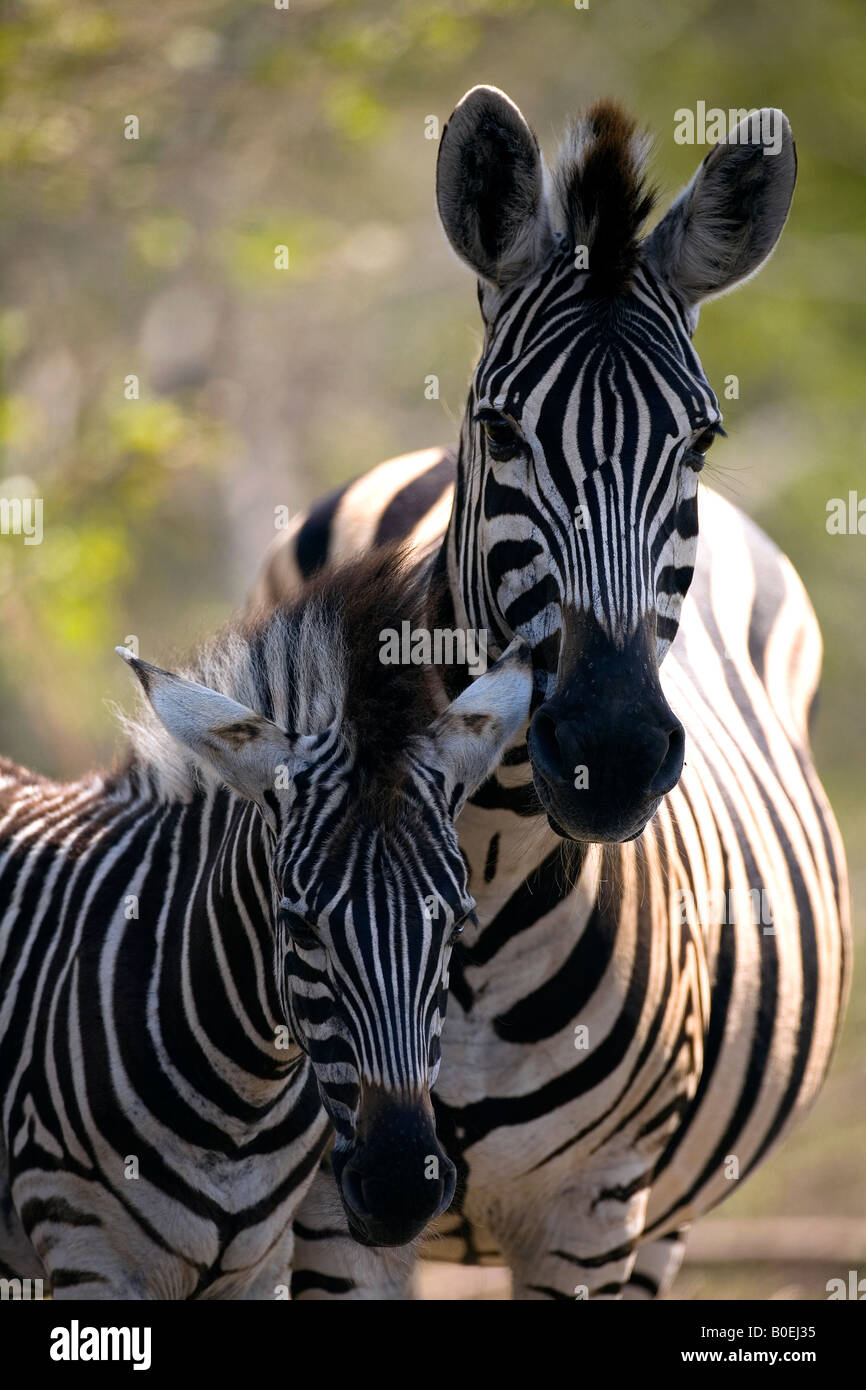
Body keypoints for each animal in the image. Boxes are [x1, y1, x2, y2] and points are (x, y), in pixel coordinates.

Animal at [0, 549, 532, 1298]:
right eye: (301, 930)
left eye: (457, 927)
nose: (401, 1190)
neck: (242, 1106)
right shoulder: (88, 1251)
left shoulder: (261, 1266)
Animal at [253, 90, 850, 1298]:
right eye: (500, 427)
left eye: (699, 440)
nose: (611, 752)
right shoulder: (333, 1216)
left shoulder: (594, 1210)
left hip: (666, 1213)